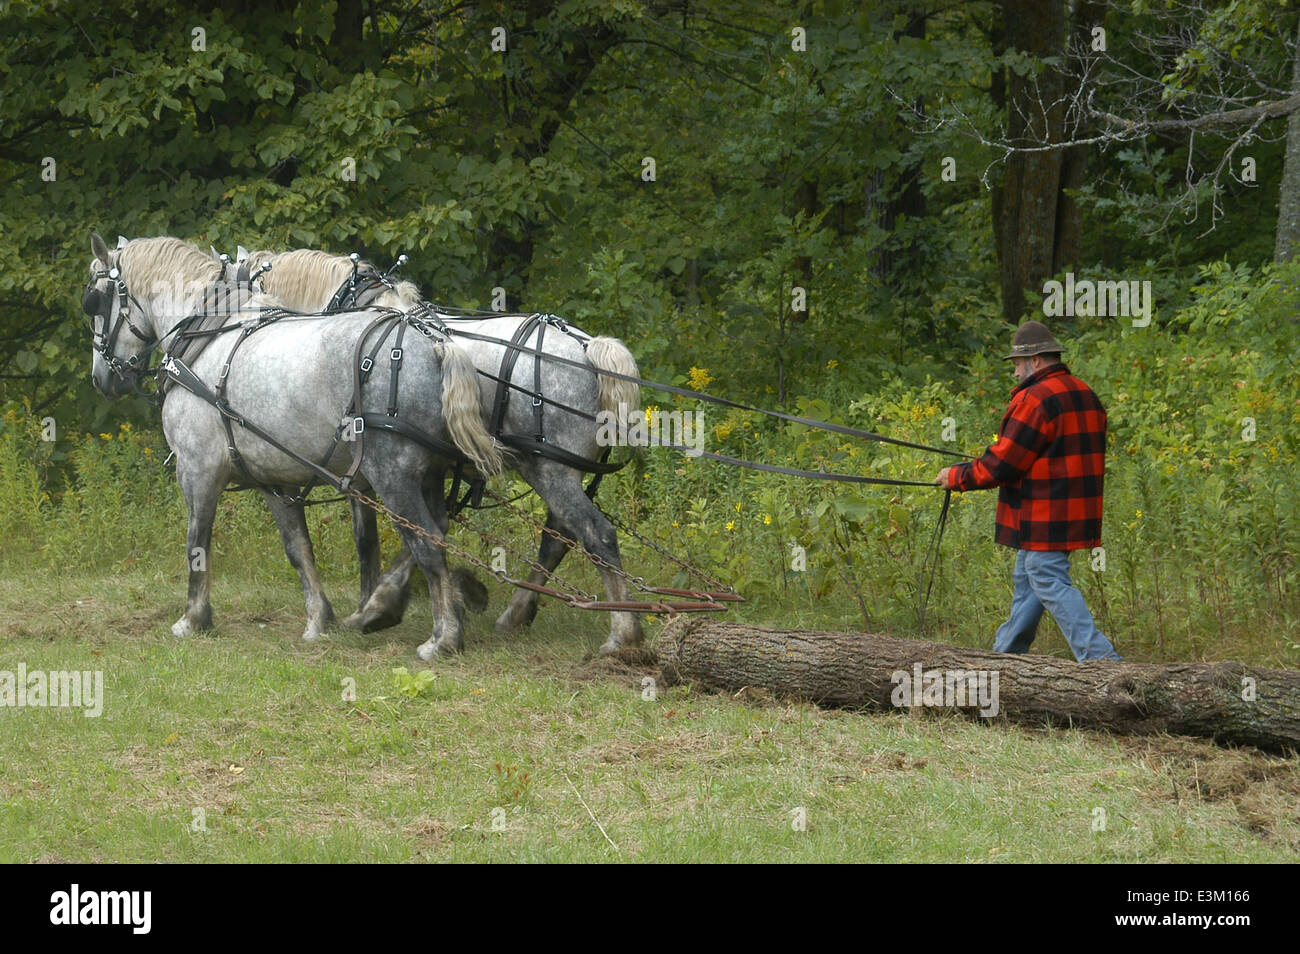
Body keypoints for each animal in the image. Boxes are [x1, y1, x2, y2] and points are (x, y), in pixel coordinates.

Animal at [83, 232, 502, 658]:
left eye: (94, 302)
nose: (101, 378)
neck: (208, 334)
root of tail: (435, 343)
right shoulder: (276, 477)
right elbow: (299, 548)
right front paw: (320, 619)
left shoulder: (197, 469)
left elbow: (196, 542)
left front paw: (193, 618)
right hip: (428, 472)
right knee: (438, 530)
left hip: (392, 474)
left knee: (426, 541)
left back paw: (442, 635)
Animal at [232, 245, 646, 657]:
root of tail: (587, 347)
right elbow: (424, 534)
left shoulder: (372, 472)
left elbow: (374, 541)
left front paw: (375, 606)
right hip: (562, 471)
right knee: (558, 538)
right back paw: (518, 614)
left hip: (550, 470)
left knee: (592, 535)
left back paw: (619, 633)